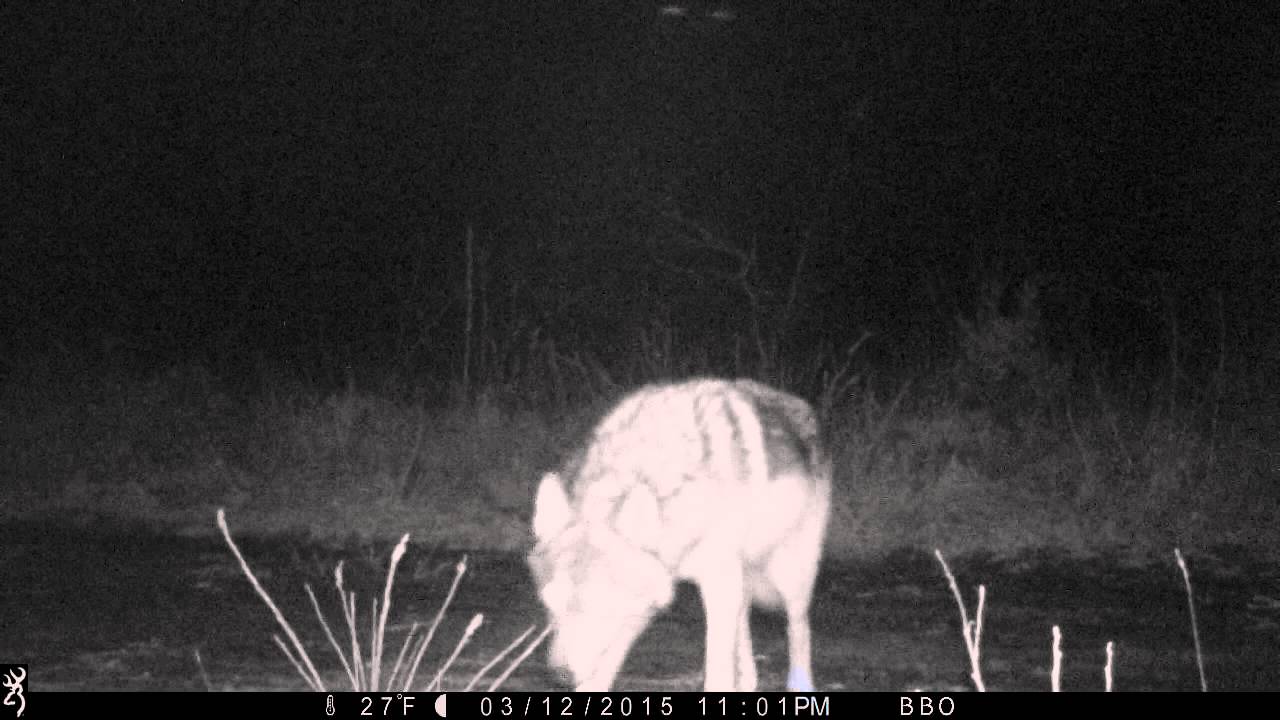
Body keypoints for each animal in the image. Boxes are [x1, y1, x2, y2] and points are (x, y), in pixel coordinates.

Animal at [528, 378, 831, 691]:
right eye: (550, 603)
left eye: (599, 606)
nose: (560, 674)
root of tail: (799, 404)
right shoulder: (646, 601)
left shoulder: (717, 580)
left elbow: (717, 669)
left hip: (791, 576)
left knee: (798, 628)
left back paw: (800, 684)